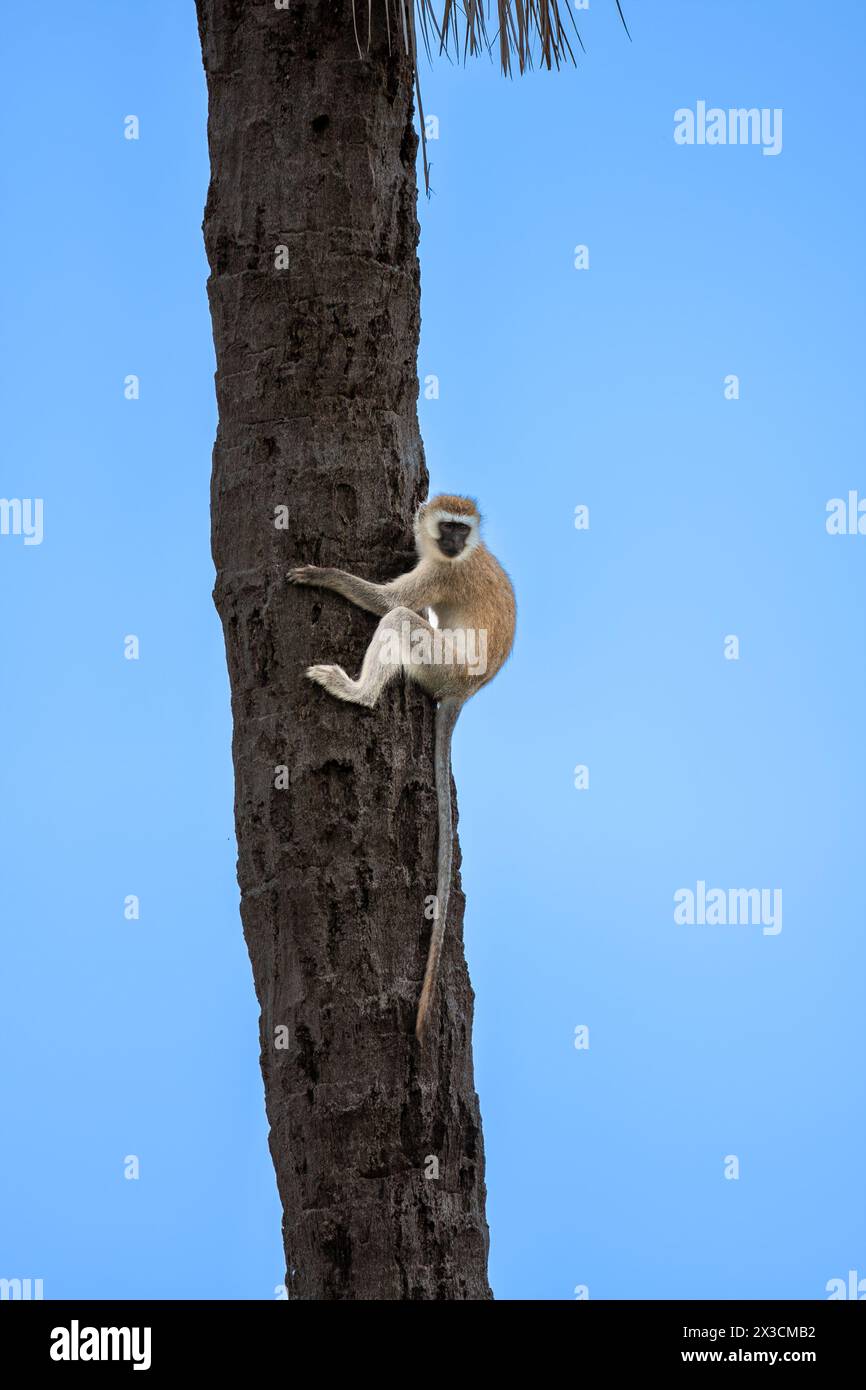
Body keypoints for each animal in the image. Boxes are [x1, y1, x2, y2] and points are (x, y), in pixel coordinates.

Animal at [288, 494, 516, 1041]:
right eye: (448, 527)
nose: (453, 542)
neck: (460, 556)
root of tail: (465, 691)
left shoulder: (443, 573)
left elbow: (386, 602)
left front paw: (325, 575)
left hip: (440, 665)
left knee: (399, 620)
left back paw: (358, 692)